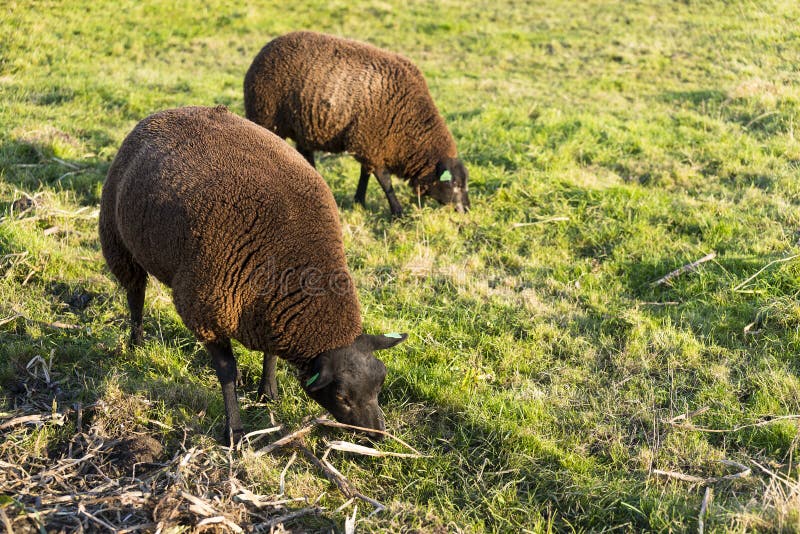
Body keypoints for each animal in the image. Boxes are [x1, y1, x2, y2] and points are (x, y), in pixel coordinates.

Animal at [99, 105, 407, 442]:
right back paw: (136, 342)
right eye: (341, 396)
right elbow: (226, 371)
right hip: (117, 241)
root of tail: (168, 111)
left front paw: (268, 392)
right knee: (135, 294)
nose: (379, 435)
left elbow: (270, 354)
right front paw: (234, 429)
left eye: (381, 381)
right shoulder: (206, 310)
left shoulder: (267, 311)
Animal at [243, 31, 470, 218]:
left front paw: (359, 202)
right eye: (455, 184)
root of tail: (264, 50)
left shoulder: (369, 144)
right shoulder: (371, 142)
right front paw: (397, 212)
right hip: (266, 117)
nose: (467, 210)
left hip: (303, 127)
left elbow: (365, 174)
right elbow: (385, 181)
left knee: (305, 154)